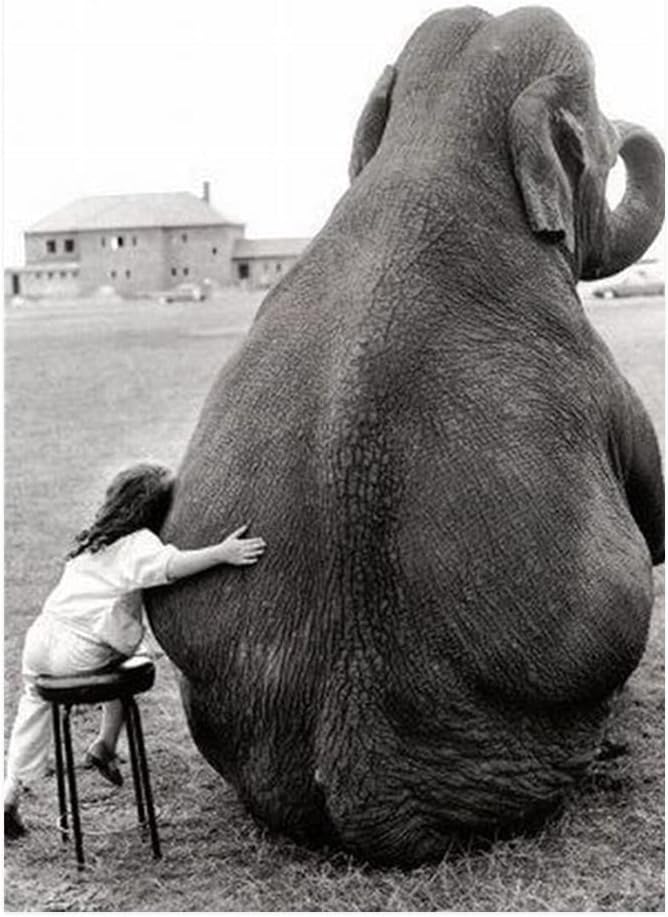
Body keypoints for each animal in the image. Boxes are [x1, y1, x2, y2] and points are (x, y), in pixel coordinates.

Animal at [146, 6, 665, 865]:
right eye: (594, 141)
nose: (630, 131)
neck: (435, 142)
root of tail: (365, 779)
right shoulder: (600, 371)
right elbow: (655, 523)